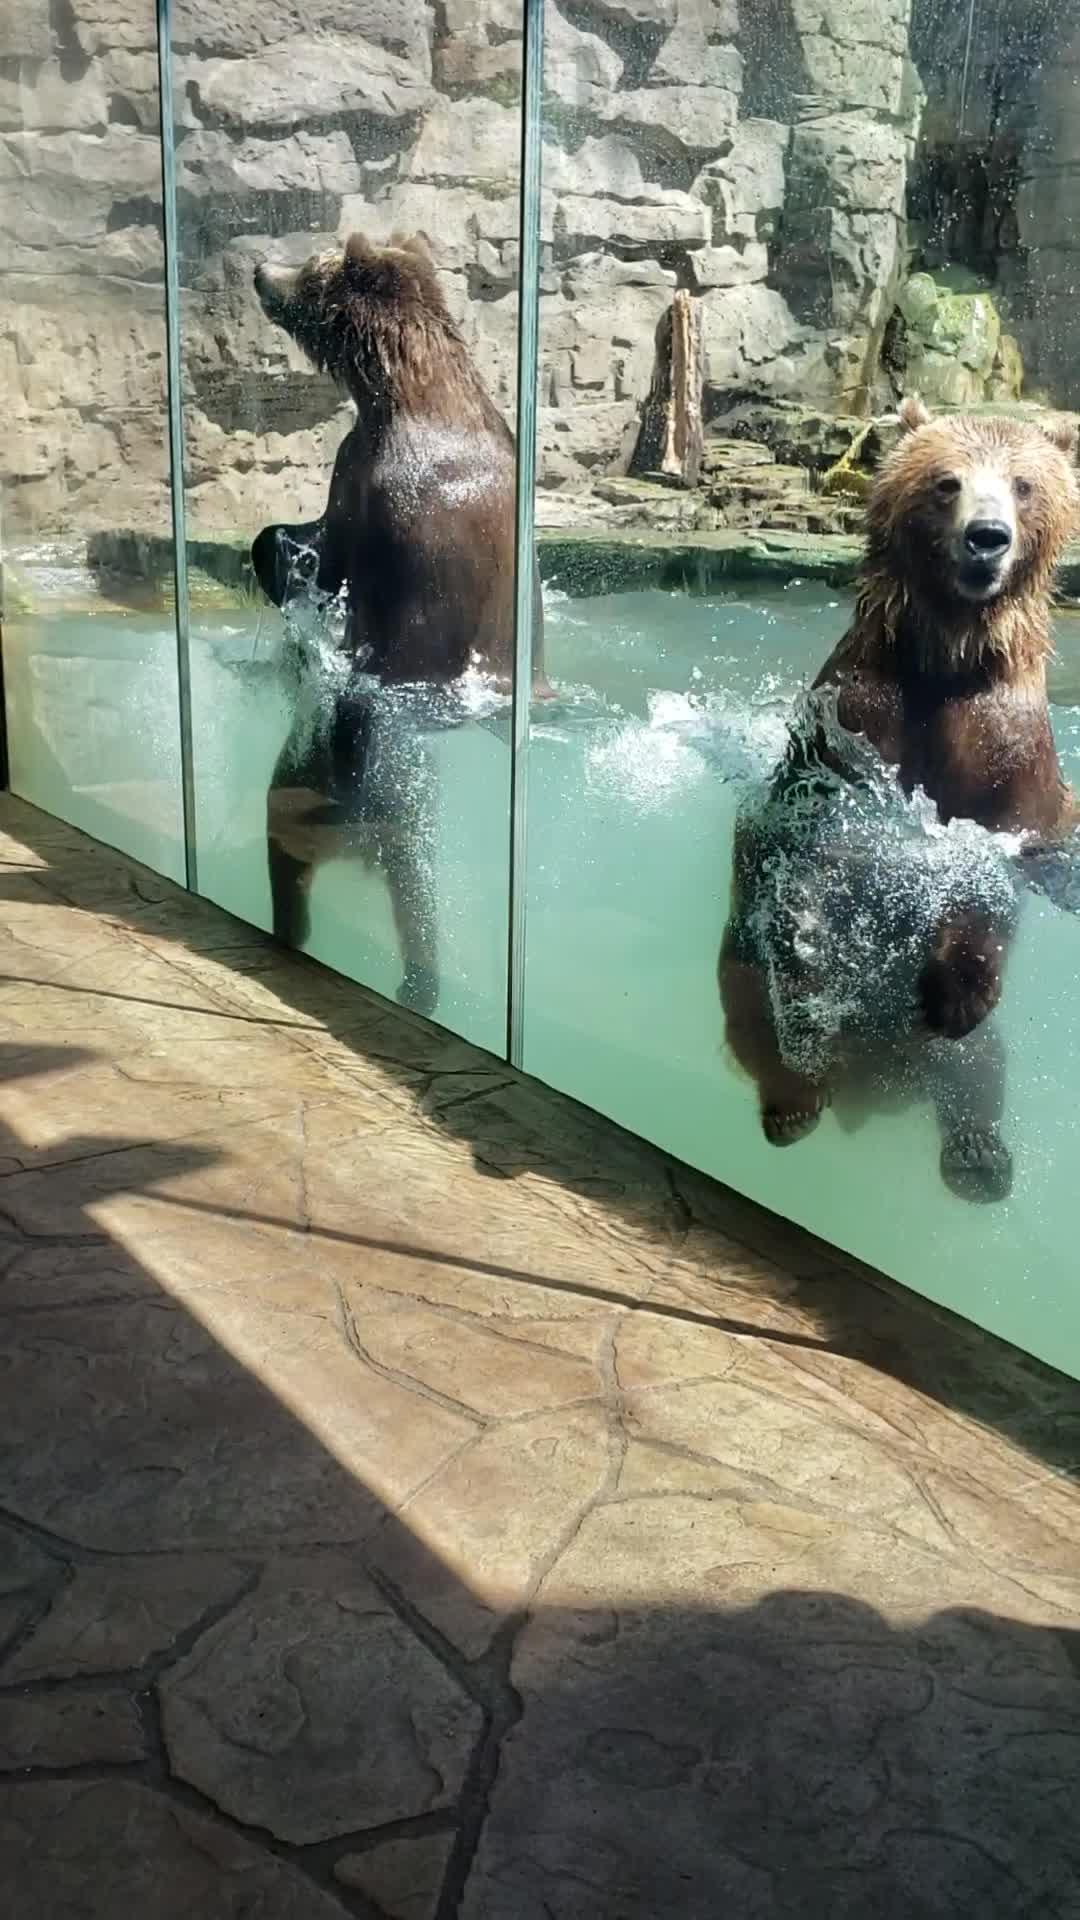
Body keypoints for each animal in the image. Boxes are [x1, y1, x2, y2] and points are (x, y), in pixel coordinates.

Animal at [250, 230, 548, 1016]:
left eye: (313, 266)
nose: (260, 268)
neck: (403, 396)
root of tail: (361, 840)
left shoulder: (371, 484)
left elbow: (334, 554)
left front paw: (282, 562)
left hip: (328, 795)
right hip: (410, 835)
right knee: (418, 911)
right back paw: (418, 982)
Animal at [718, 397, 1079, 1202]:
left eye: (1023, 485)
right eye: (947, 482)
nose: (987, 537)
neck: (944, 655)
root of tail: (875, 1089)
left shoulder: (1008, 753)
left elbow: (994, 872)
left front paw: (956, 992)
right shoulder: (851, 726)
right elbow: (806, 851)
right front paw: (812, 941)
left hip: (962, 1061)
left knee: (979, 1072)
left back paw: (979, 1161)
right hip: (740, 979)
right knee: (758, 1018)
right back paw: (792, 1100)